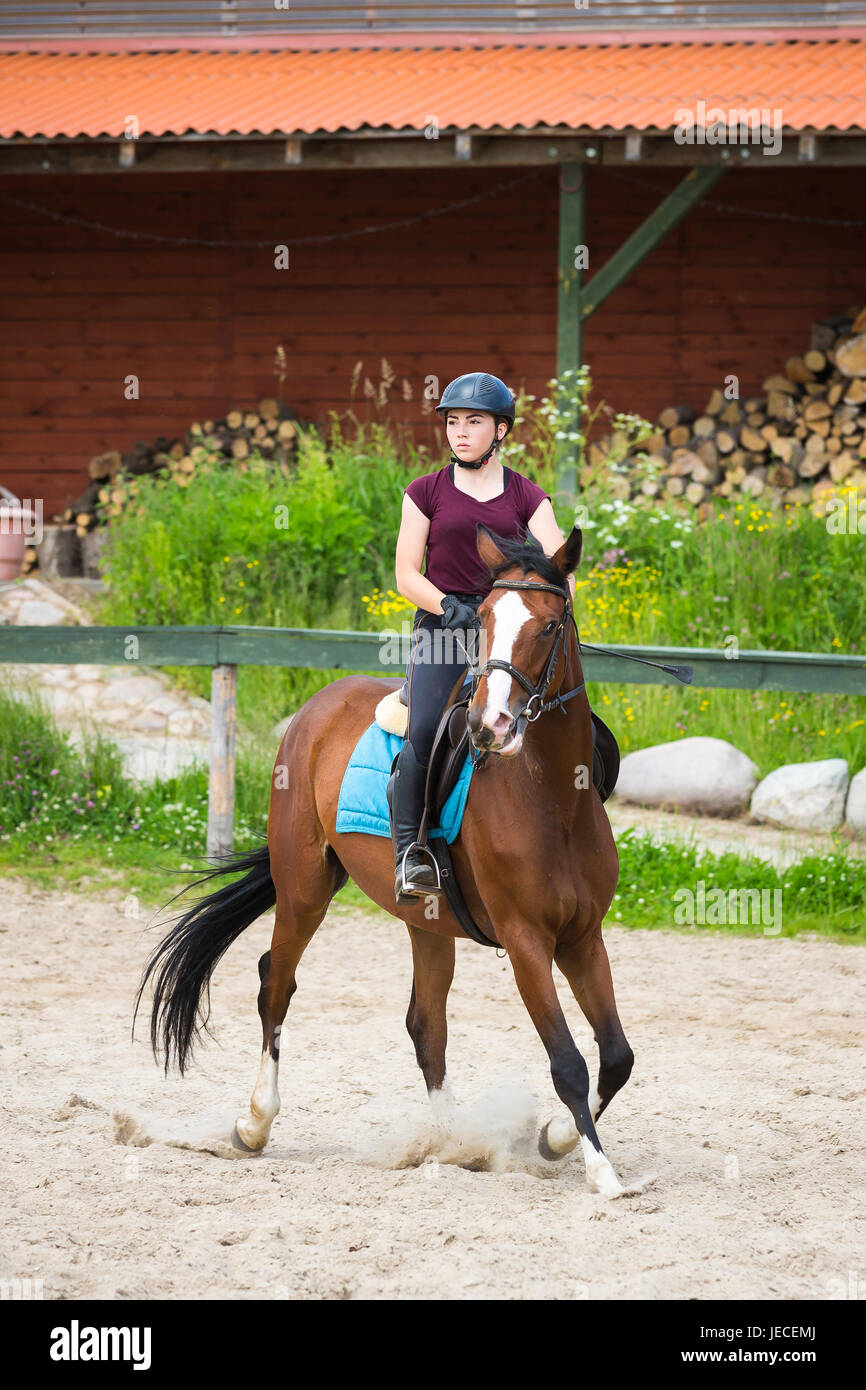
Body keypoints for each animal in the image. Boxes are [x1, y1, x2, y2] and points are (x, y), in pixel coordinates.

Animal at [134, 522, 634, 1196]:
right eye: (482, 618)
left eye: (551, 624)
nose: (491, 726)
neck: (553, 798)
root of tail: (319, 704)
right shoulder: (527, 939)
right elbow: (569, 1062)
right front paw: (600, 1171)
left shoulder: (582, 936)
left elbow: (616, 1056)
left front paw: (555, 1139)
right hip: (304, 890)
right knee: (276, 983)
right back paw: (254, 1124)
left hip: (429, 919)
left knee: (427, 1024)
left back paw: (453, 1143)